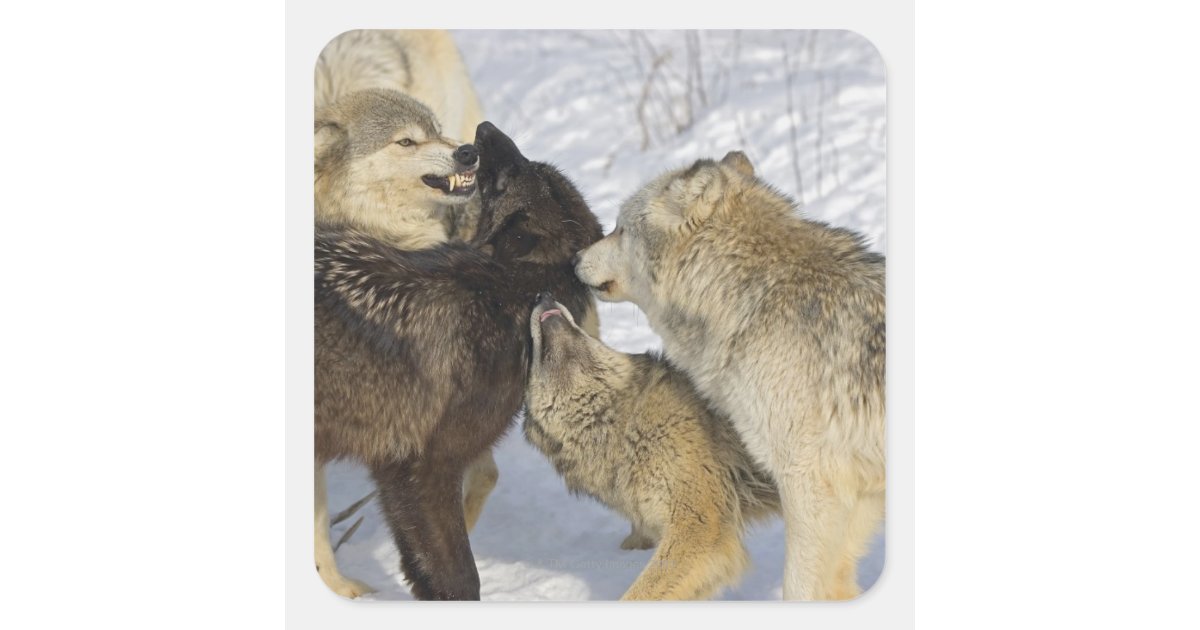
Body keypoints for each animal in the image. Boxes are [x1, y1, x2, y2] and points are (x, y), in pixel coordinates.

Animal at [574, 151, 886, 600]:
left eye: (619, 229)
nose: (573, 258)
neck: (747, 296)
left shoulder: (808, 484)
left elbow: (799, 588)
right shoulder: (861, 492)